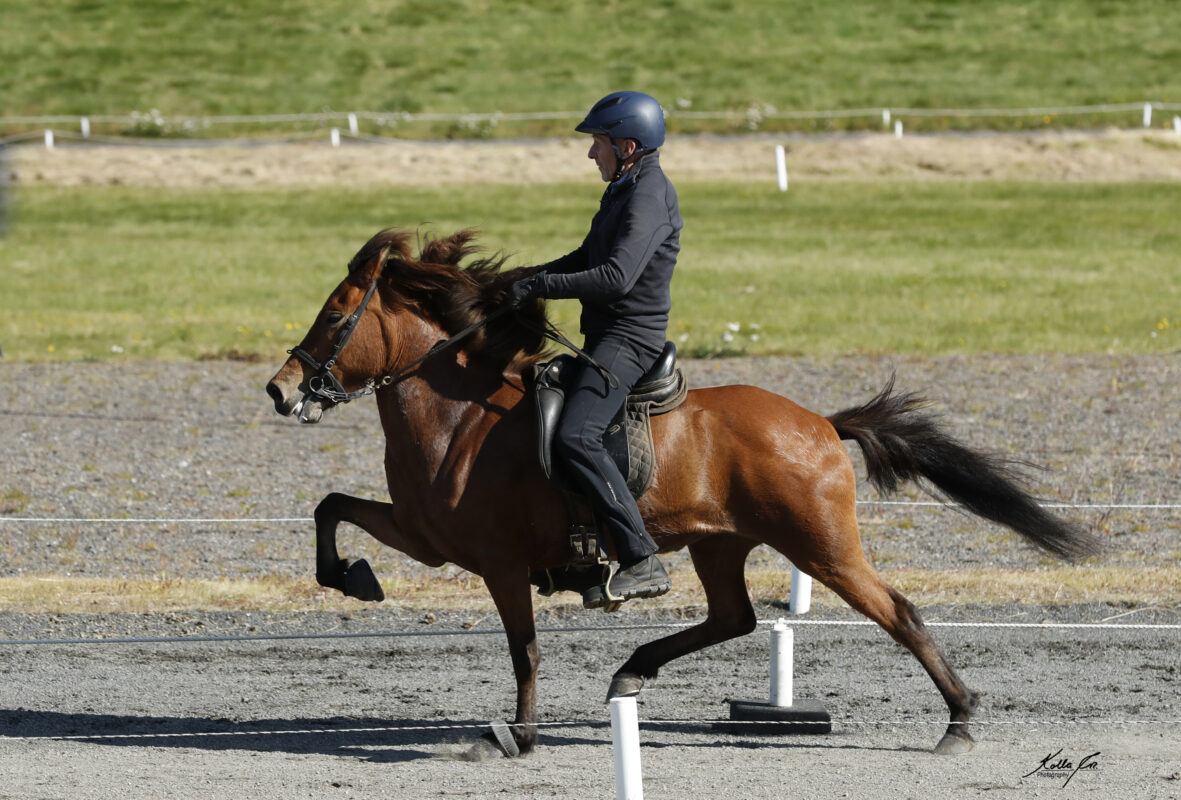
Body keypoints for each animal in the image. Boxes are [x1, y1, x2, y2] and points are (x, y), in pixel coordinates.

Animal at [266, 227, 1100, 757]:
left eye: (336, 314)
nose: (280, 390)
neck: (462, 417)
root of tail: (819, 423)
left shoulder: (497, 564)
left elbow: (523, 652)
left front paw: (516, 736)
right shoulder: (428, 538)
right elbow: (331, 507)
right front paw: (351, 577)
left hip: (820, 546)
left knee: (897, 611)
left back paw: (958, 723)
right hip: (720, 543)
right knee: (732, 617)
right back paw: (633, 668)